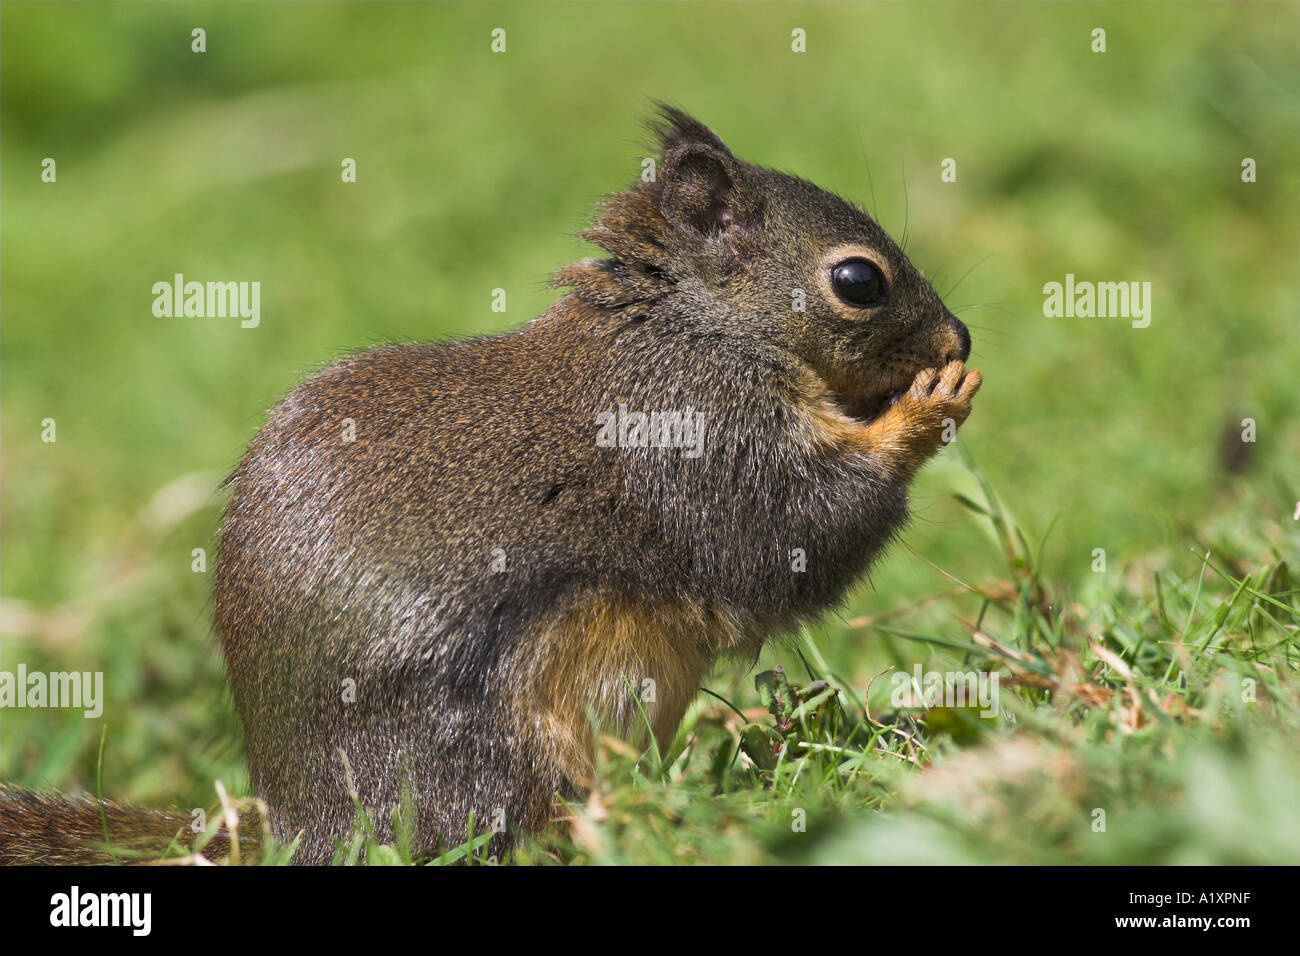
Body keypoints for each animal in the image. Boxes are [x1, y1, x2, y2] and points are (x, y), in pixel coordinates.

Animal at [0, 107, 979, 864]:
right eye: (857, 280)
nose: (959, 338)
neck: (697, 329)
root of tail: (302, 826)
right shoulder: (699, 436)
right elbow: (797, 532)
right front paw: (926, 409)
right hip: (496, 747)